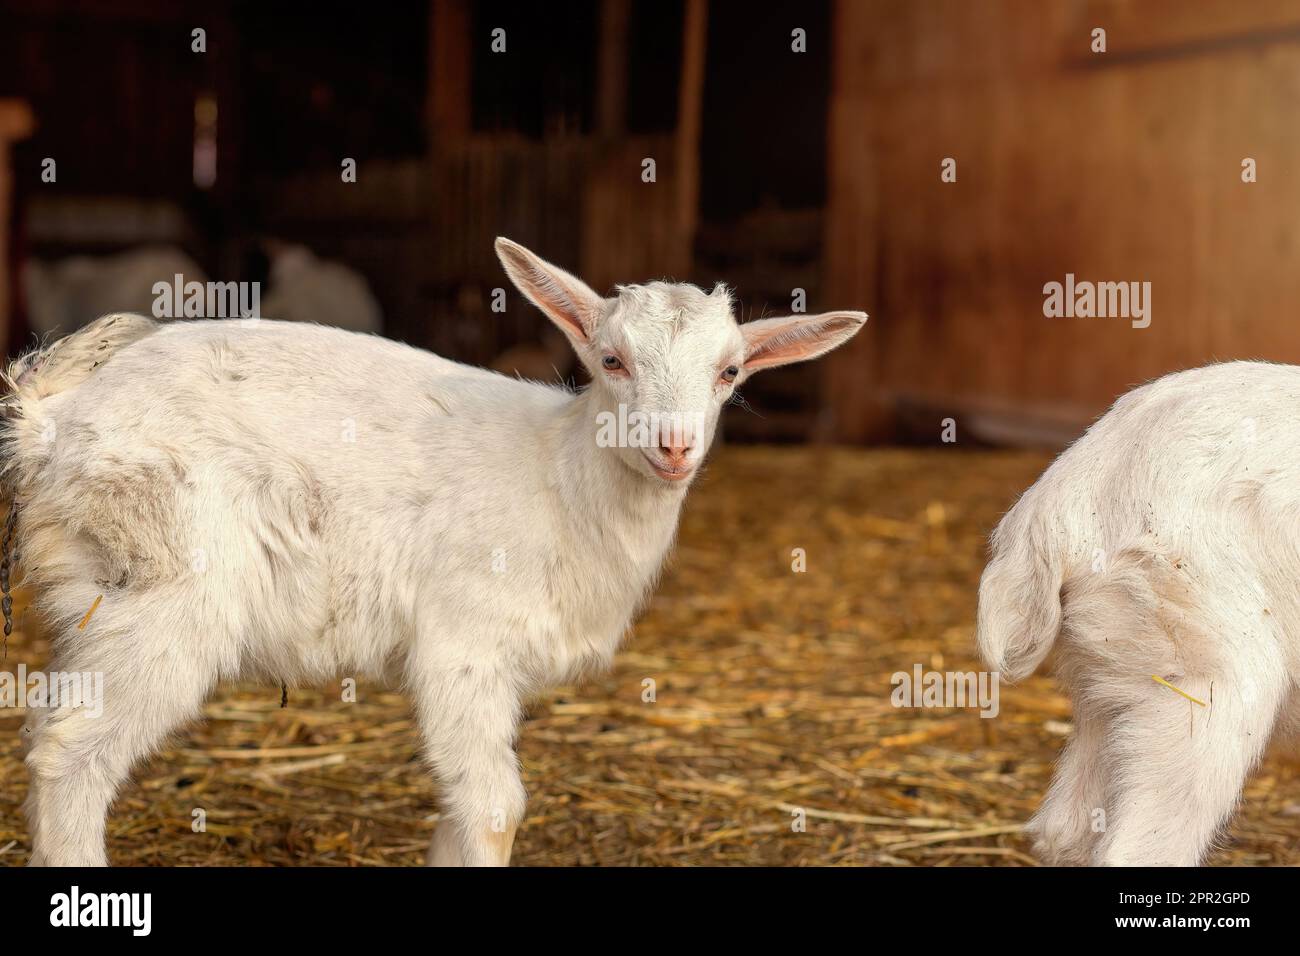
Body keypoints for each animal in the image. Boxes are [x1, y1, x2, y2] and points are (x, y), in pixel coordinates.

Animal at [3, 238, 866, 866]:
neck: (560, 481)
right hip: (171, 581)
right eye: (611, 360)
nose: (674, 446)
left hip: (101, 584)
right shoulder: (462, 644)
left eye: (730, 372)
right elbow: (494, 808)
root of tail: (50, 413)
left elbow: (462, 809)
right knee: (70, 754)